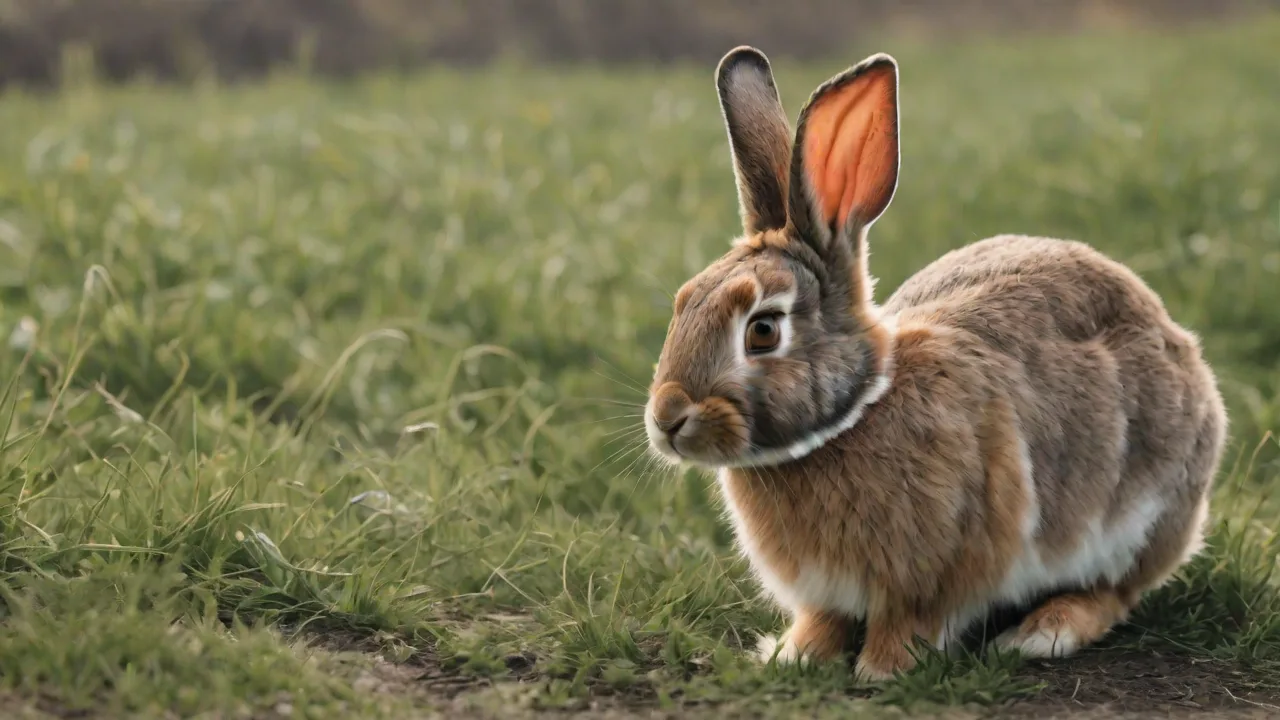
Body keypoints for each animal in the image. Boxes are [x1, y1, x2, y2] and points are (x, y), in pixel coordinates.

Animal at [642, 45, 1228, 682]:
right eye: (682, 301)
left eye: (763, 331)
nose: (667, 419)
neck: (854, 414)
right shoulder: (825, 593)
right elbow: (824, 620)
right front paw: (795, 655)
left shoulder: (944, 574)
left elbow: (914, 623)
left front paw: (882, 670)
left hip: (1142, 520)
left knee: (1113, 593)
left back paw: (1040, 633)